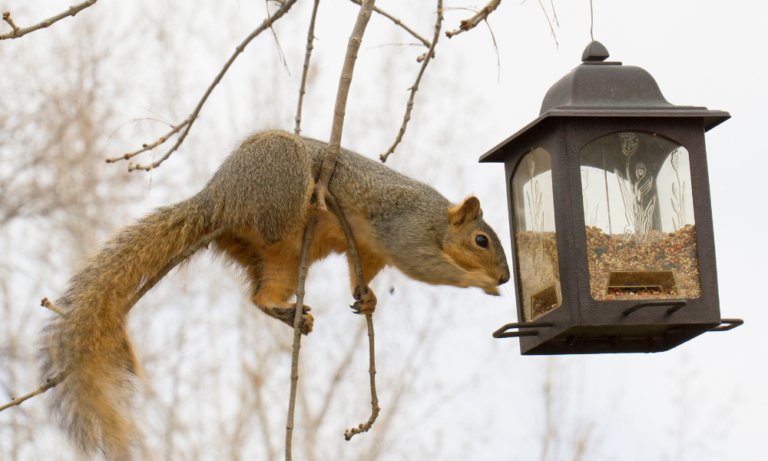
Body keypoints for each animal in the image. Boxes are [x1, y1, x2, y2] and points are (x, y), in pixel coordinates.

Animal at [39, 130, 510, 458]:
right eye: (482, 240)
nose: (505, 278)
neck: (436, 220)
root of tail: (217, 198)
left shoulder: (370, 250)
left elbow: (360, 274)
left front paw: (369, 298)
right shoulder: (405, 232)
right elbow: (425, 267)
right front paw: (479, 283)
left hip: (278, 260)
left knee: (261, 295)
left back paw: (287, 312)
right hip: (279, 173)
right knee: (278, 211)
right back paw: (314, 198)